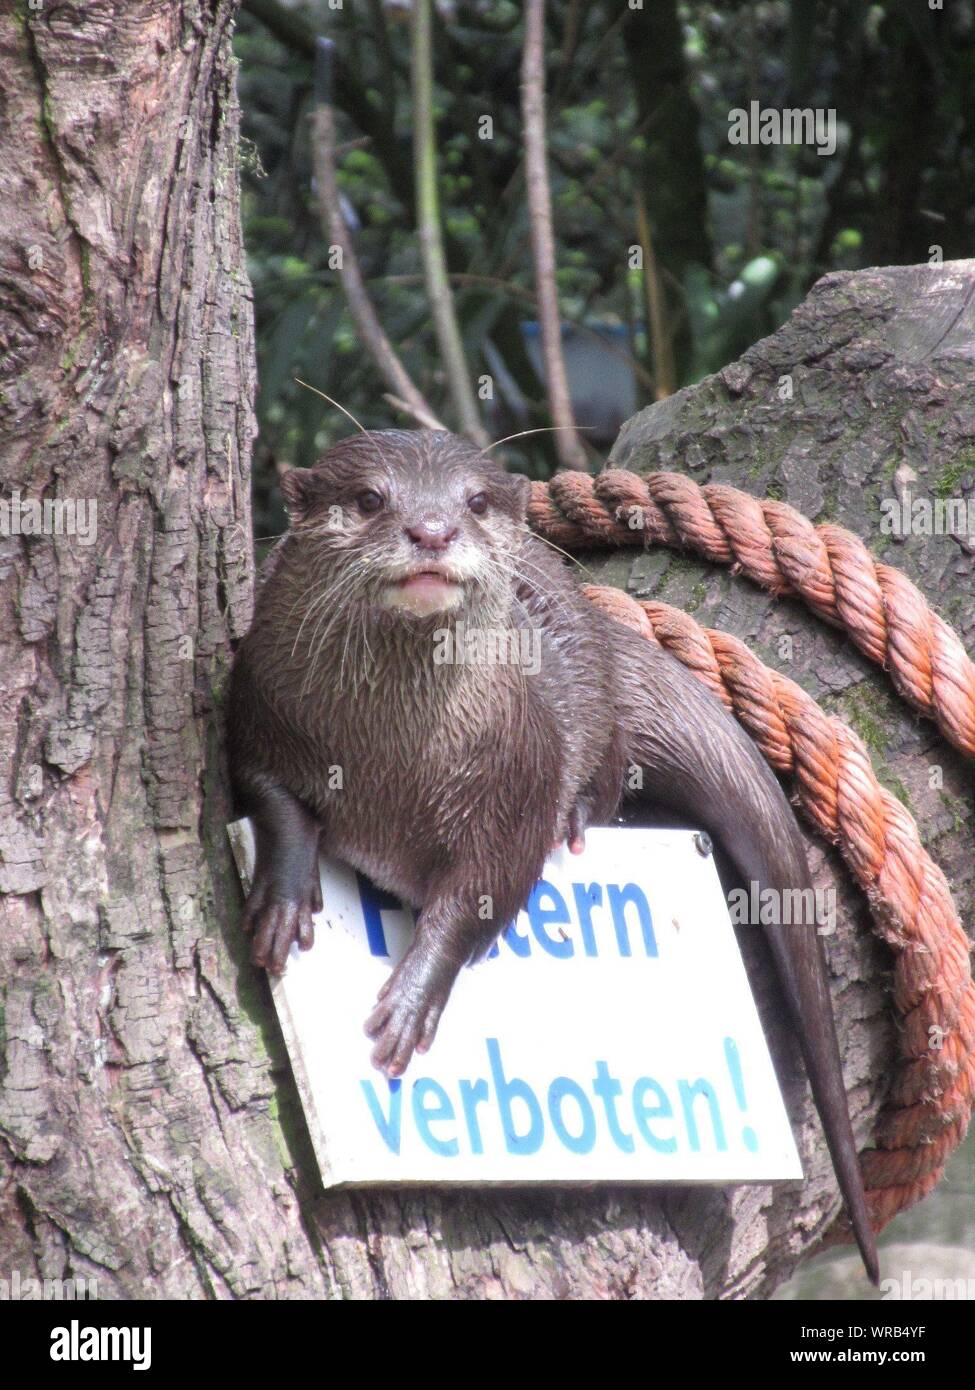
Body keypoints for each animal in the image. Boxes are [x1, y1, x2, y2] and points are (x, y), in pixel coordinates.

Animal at [227, 428, 879, 1282]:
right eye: (368, 499)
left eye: (473, 502)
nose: (431, 530)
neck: (389, 769)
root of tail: (603, 630)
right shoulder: (259, 706)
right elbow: (265, 792)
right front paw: (282, 897)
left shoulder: (512, 786)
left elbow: (485, 892)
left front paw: (411, 1000)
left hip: (579, 685)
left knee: (606, 757)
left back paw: (580, 811)